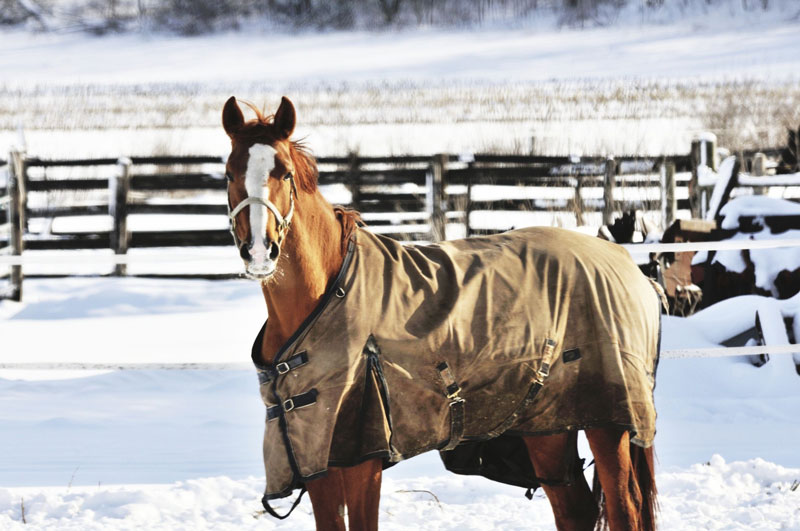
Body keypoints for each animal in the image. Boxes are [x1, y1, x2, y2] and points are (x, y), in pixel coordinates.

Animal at [222, 95, 660, 531]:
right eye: (229, 173)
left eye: (285, 173)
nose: (259, 251)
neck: (327, 293)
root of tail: (625, 263)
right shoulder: (314, 456)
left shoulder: (362, 457)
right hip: (548, 425)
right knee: (575, 509)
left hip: (609, 423)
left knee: (624, 507)